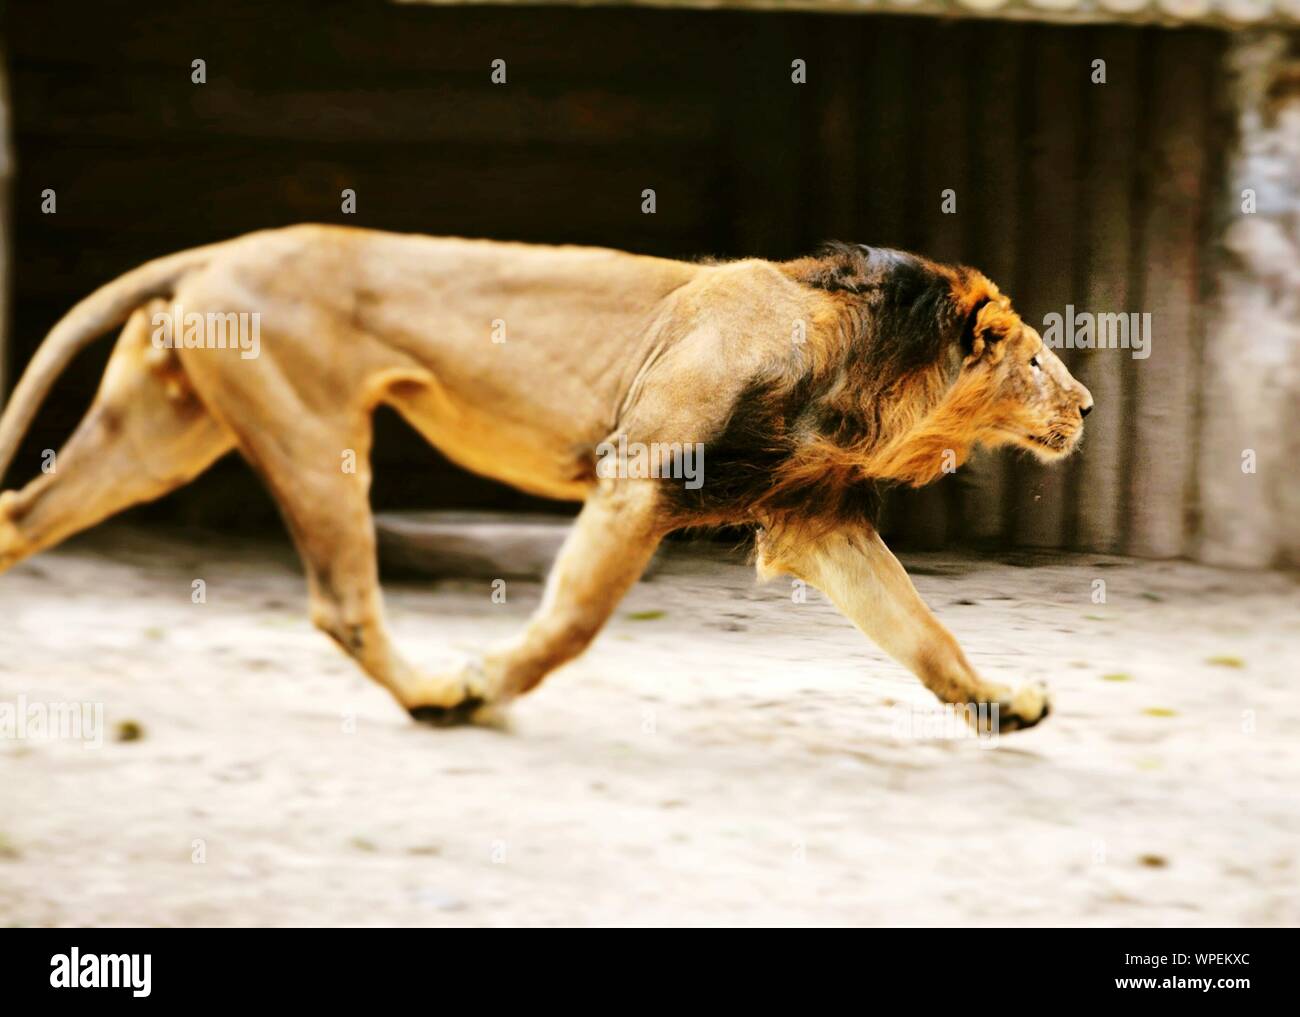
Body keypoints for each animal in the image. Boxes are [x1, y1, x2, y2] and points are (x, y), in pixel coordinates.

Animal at [0, 227, 1091, 732]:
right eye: (1037, 359)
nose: (1085, 404)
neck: (858, 364)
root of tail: (217, 249)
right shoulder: (638, 477)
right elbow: (570, 624)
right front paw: (489, 683)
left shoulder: (816, 518)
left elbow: (924, 632)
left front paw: (1003, 704)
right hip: (314, 432)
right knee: (344, 605)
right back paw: (439, 696)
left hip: (158, 437)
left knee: (20, 515)